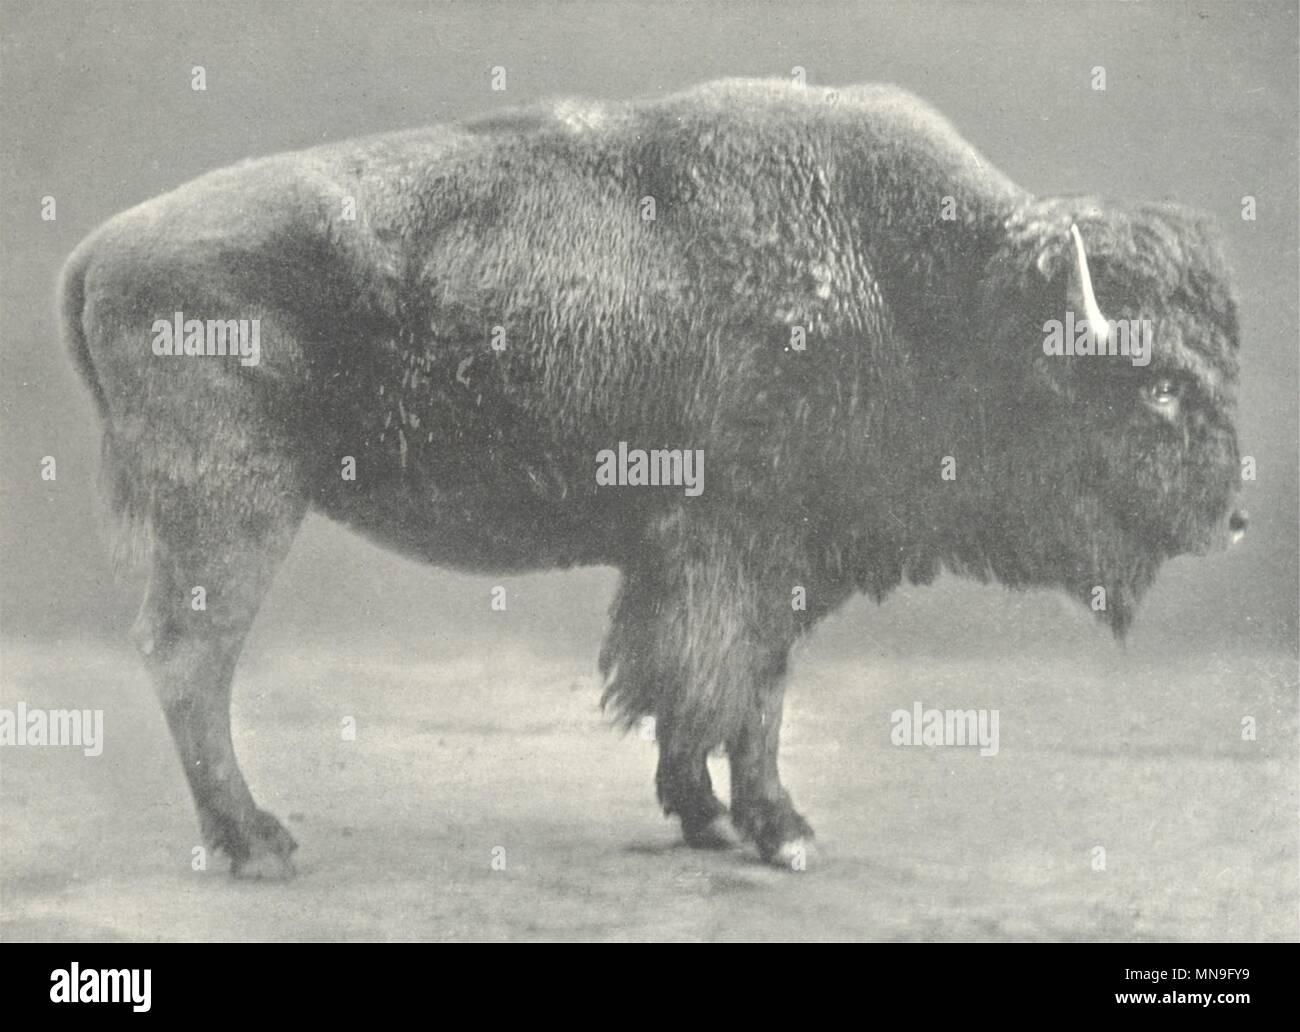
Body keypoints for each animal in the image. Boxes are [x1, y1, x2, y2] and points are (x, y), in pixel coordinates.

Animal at [61, 78, 1245, 876]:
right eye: (1156, 389)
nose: (1233, 515)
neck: (922, 278)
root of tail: (104, 247)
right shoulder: (754, 553)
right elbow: (749, 692)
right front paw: (781, 831)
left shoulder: (698, 563)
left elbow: (699, 697)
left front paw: (704, 815)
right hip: (234, 515)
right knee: (191, 659)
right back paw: (257, 842)